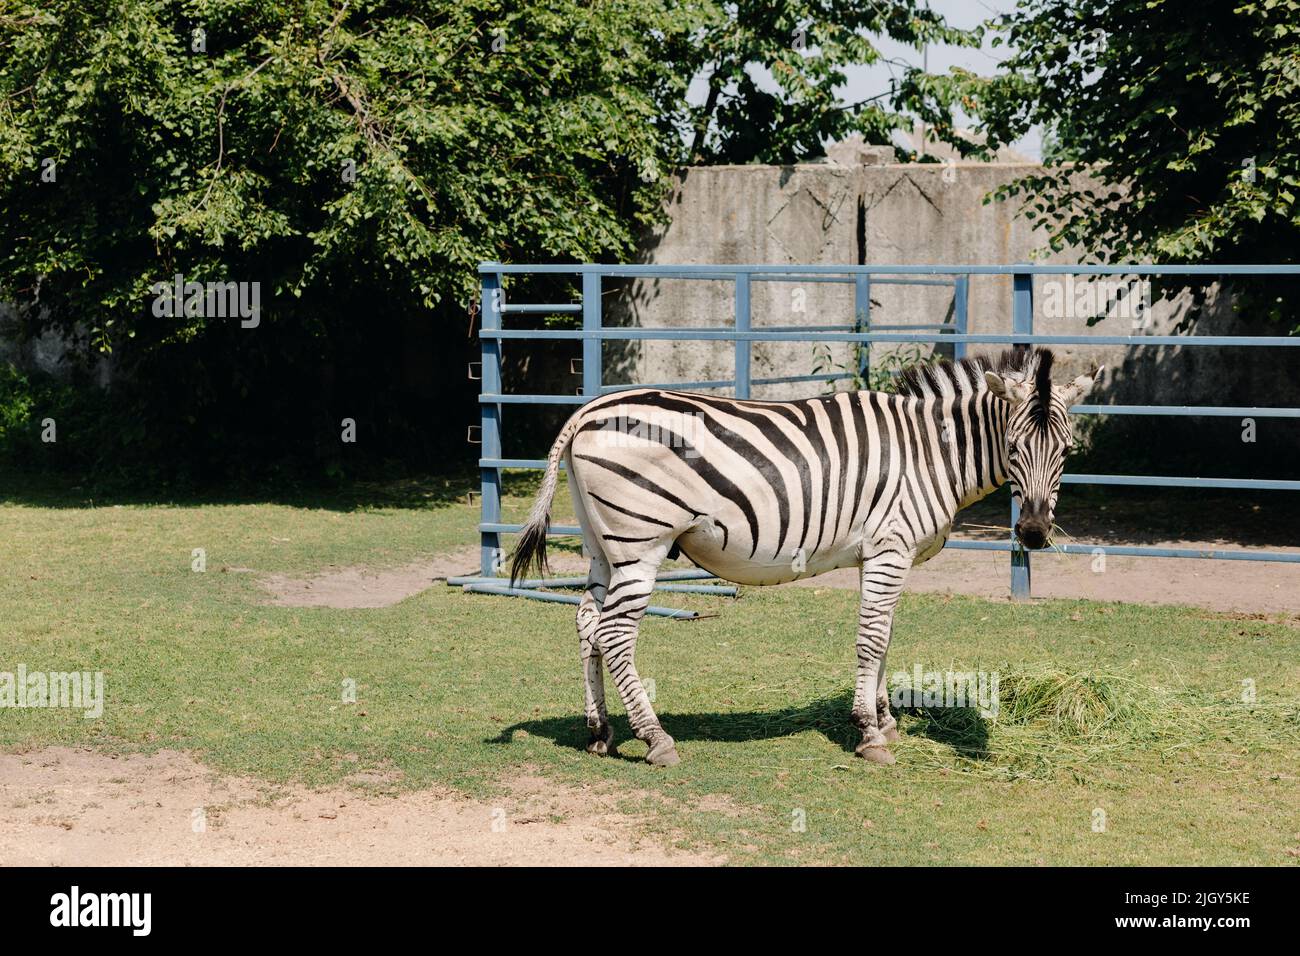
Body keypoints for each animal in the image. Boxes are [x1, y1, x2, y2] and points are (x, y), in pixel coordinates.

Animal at [509, 347, 1101, 766]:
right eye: (1014, 446)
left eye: (1066, 451)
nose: (1033, 533)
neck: (931, 451)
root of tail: (588, 409)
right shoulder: (890, 548)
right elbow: (872, 639)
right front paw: (870, 734)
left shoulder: (880, 554)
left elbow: (886, 635)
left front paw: (885, 721)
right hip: (642, 544)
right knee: (615, 633)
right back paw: (656, 740)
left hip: (602, 546)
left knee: (587, 623)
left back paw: (600, 733)